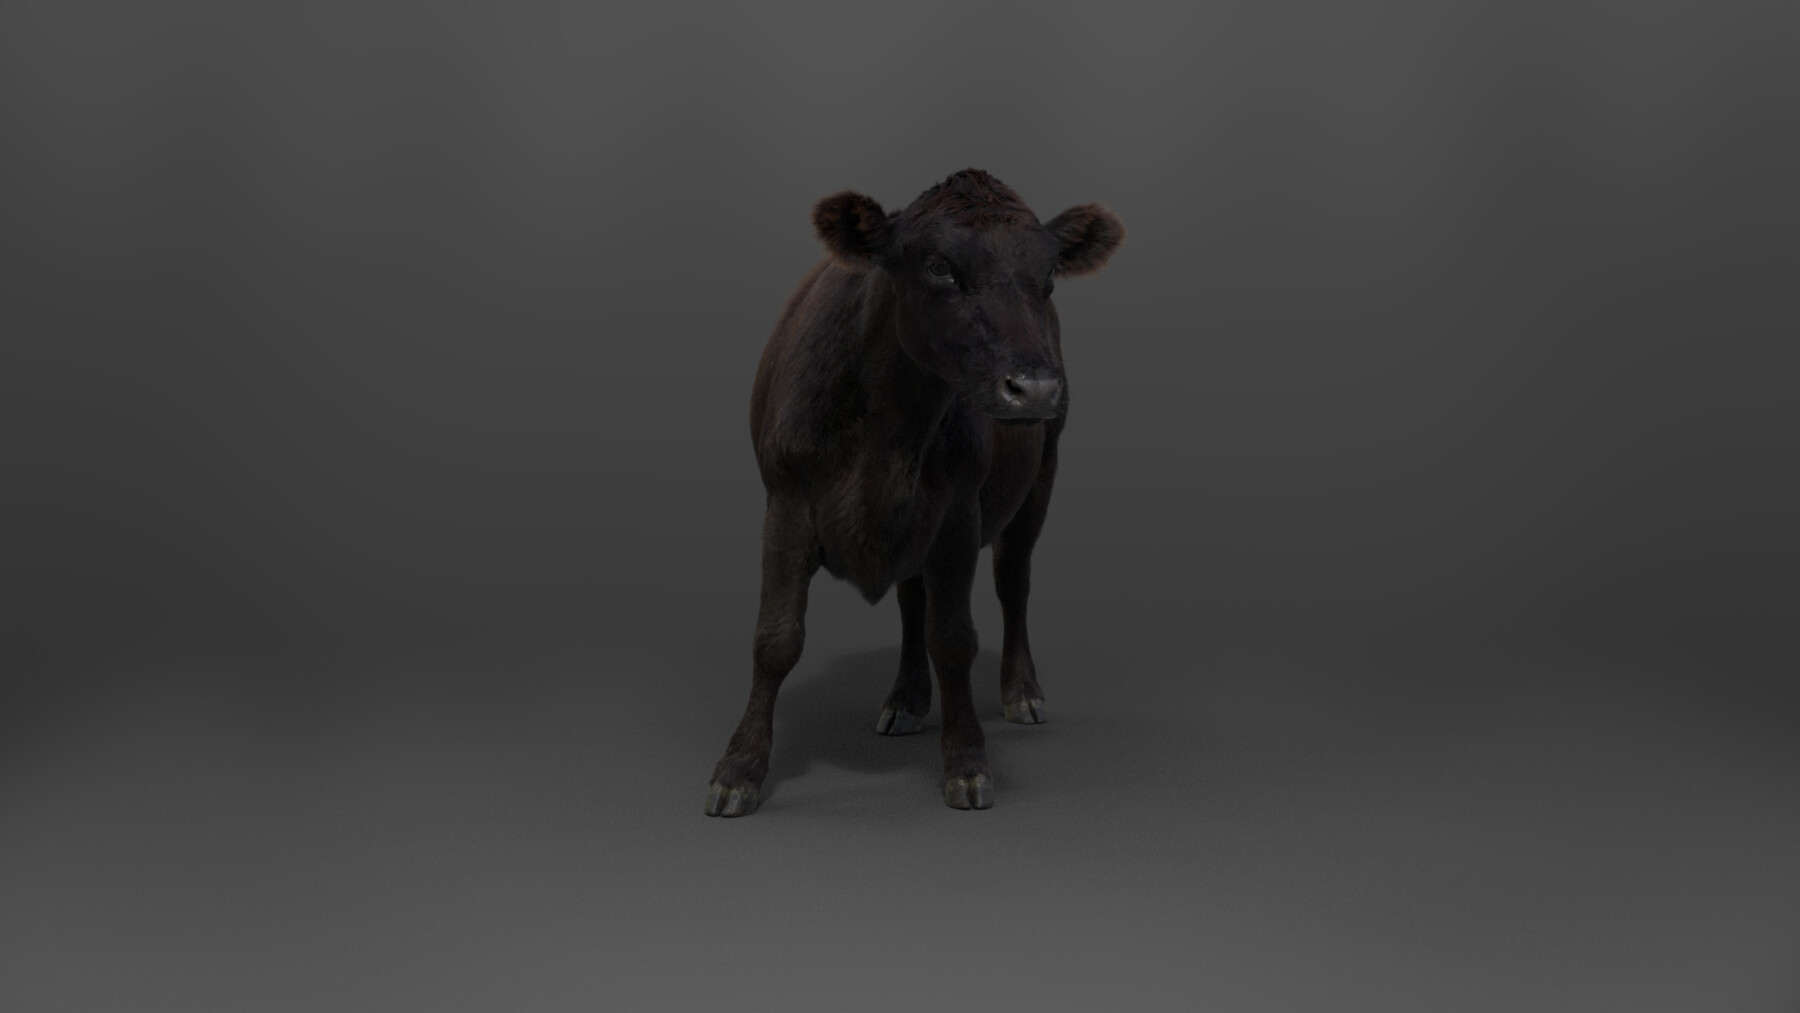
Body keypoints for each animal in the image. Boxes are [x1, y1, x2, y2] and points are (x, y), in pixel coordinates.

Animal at [704, 169, 1124, 816]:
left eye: (1049, 274)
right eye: (938, 266)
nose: (1033, 388)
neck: (889, 434)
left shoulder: (958, 514)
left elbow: (954, 638)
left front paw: (968, 762)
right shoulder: (785, 500)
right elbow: (776, 638)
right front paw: (739, 769)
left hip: (1041, 477)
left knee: (1014, 581)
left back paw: (1021, 692)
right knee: (911, 601)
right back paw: (904, 699)